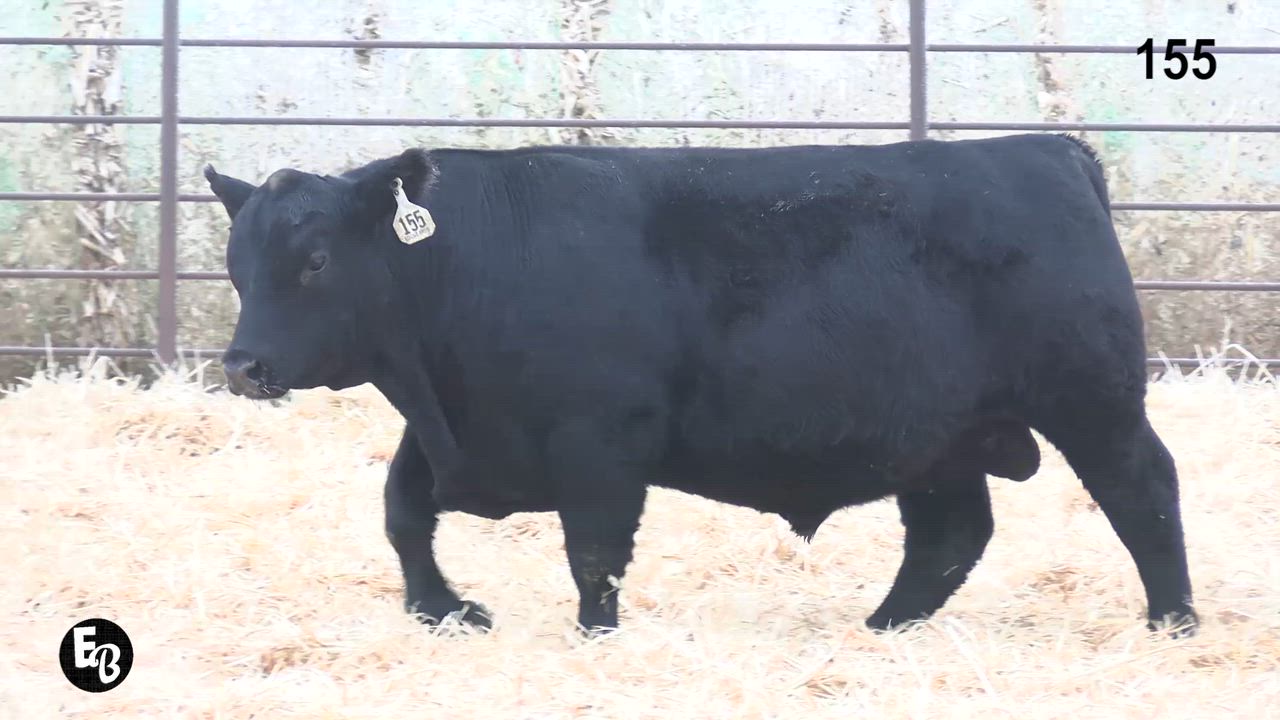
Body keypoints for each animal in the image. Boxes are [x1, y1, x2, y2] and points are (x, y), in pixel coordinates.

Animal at [204, 133, 1197, 638]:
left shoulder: (600, 441)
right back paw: (883, 626)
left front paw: (596, 636)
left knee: (1142, 491)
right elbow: (403, 511)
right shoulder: (450, 436)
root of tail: (1052, 149)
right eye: (238, 266)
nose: (245, 366)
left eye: (316, 261)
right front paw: (444, 609)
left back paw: (1173, 619)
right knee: (950, 533)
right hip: (936, 436)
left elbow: (594, 550)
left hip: (1092, 400)